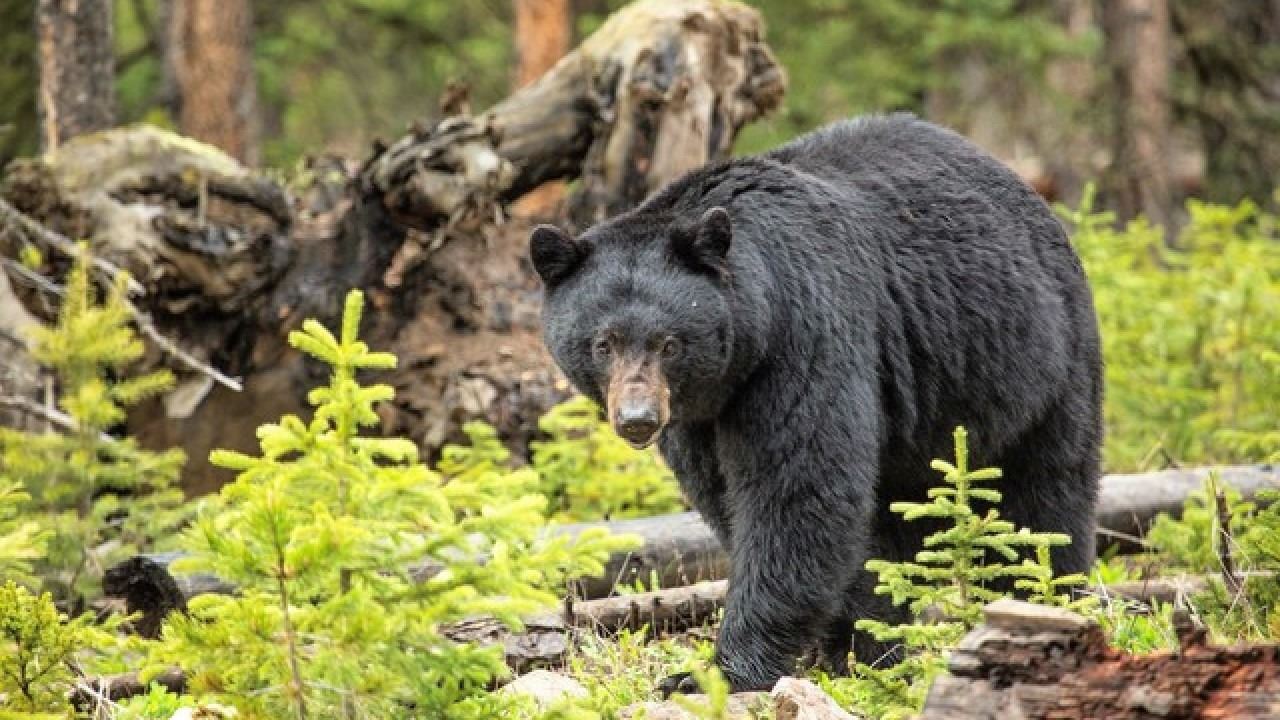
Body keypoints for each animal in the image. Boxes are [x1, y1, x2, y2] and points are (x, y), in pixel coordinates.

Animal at [529, 114, 1103, 693]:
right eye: (603, 343)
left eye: (669, 342)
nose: (638, 420)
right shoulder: (699, 416)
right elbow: (729, 496)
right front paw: (851, 644)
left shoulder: (805, 333)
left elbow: (797, 489)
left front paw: (718, 672)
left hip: (1039, 363)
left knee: (1043, 497)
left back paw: (1041, 601)